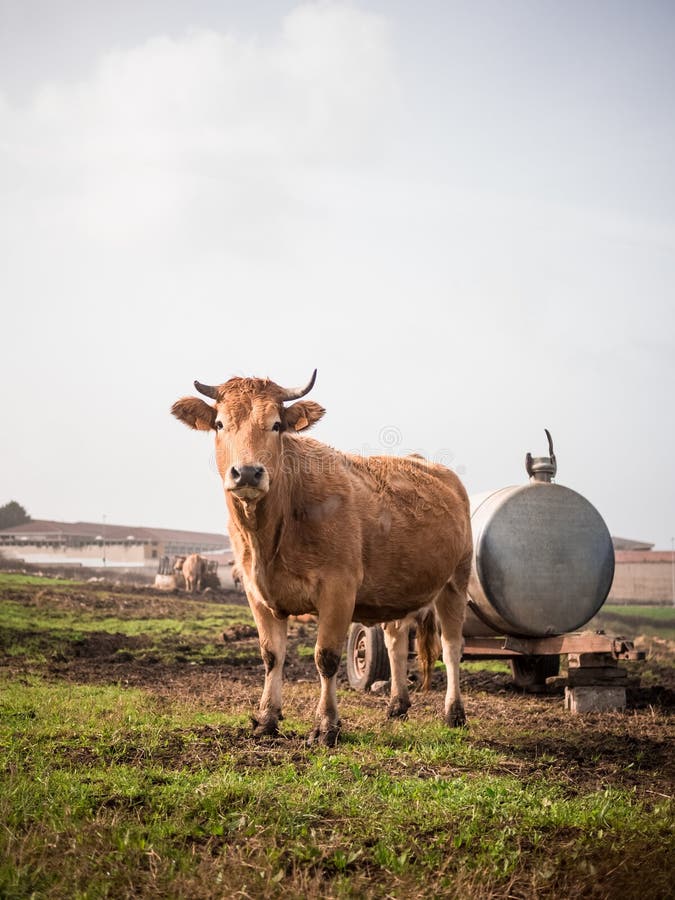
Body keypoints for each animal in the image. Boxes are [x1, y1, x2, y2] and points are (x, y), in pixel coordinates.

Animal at [171, 370, 472, 746]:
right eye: (220, 424)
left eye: (276, 425)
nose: (248, 472)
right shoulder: (257, 594)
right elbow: (271, 656)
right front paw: (266, 718)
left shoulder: (338, 589)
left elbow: (325, 658)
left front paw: (327, 725)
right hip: (400, 588)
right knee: (396, 641)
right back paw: (397, 705)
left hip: (456, 581)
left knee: (452, 647)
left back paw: (454, 713)